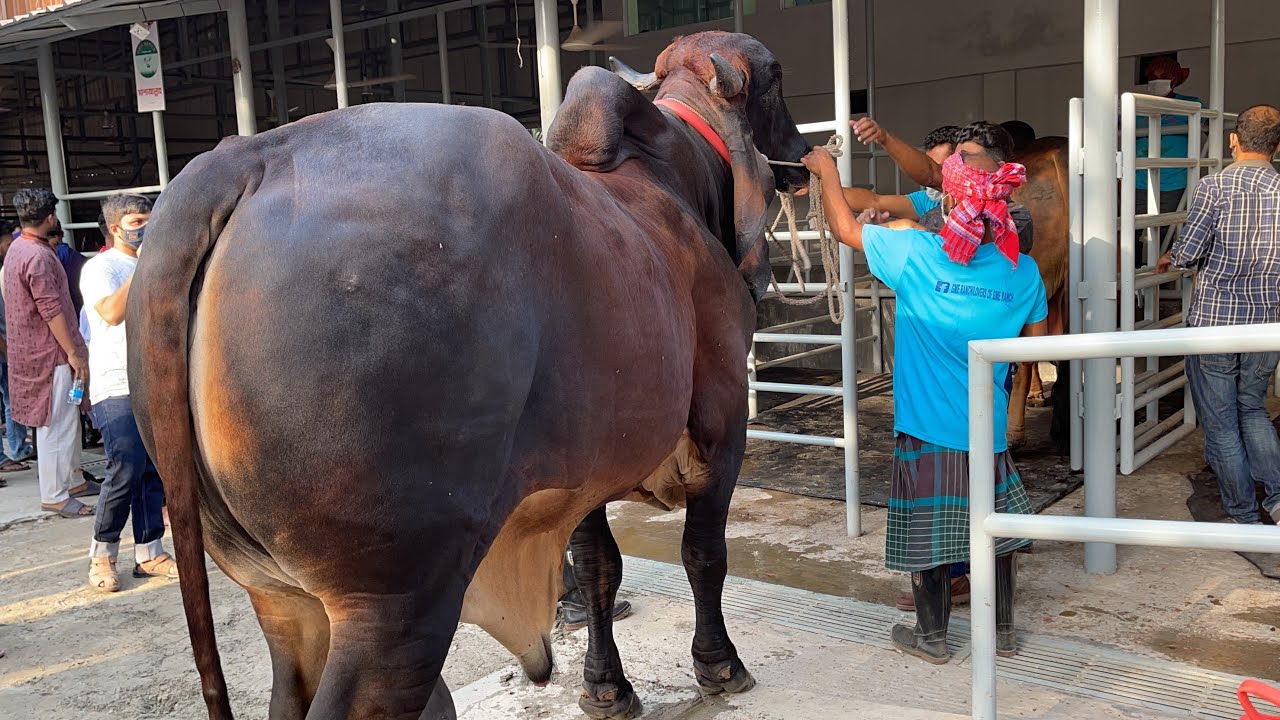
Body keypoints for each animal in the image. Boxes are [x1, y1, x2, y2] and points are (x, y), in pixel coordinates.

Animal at [127, 31, 809, 720]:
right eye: (777, 78)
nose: (805, 152)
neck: (683, 177)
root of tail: (248, 156)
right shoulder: (722, 424)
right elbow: (704, 551)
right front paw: (718, 665)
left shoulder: (585, 468)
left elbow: (597, 564)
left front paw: (606, 687)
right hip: (397, 603)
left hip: (281, 597)